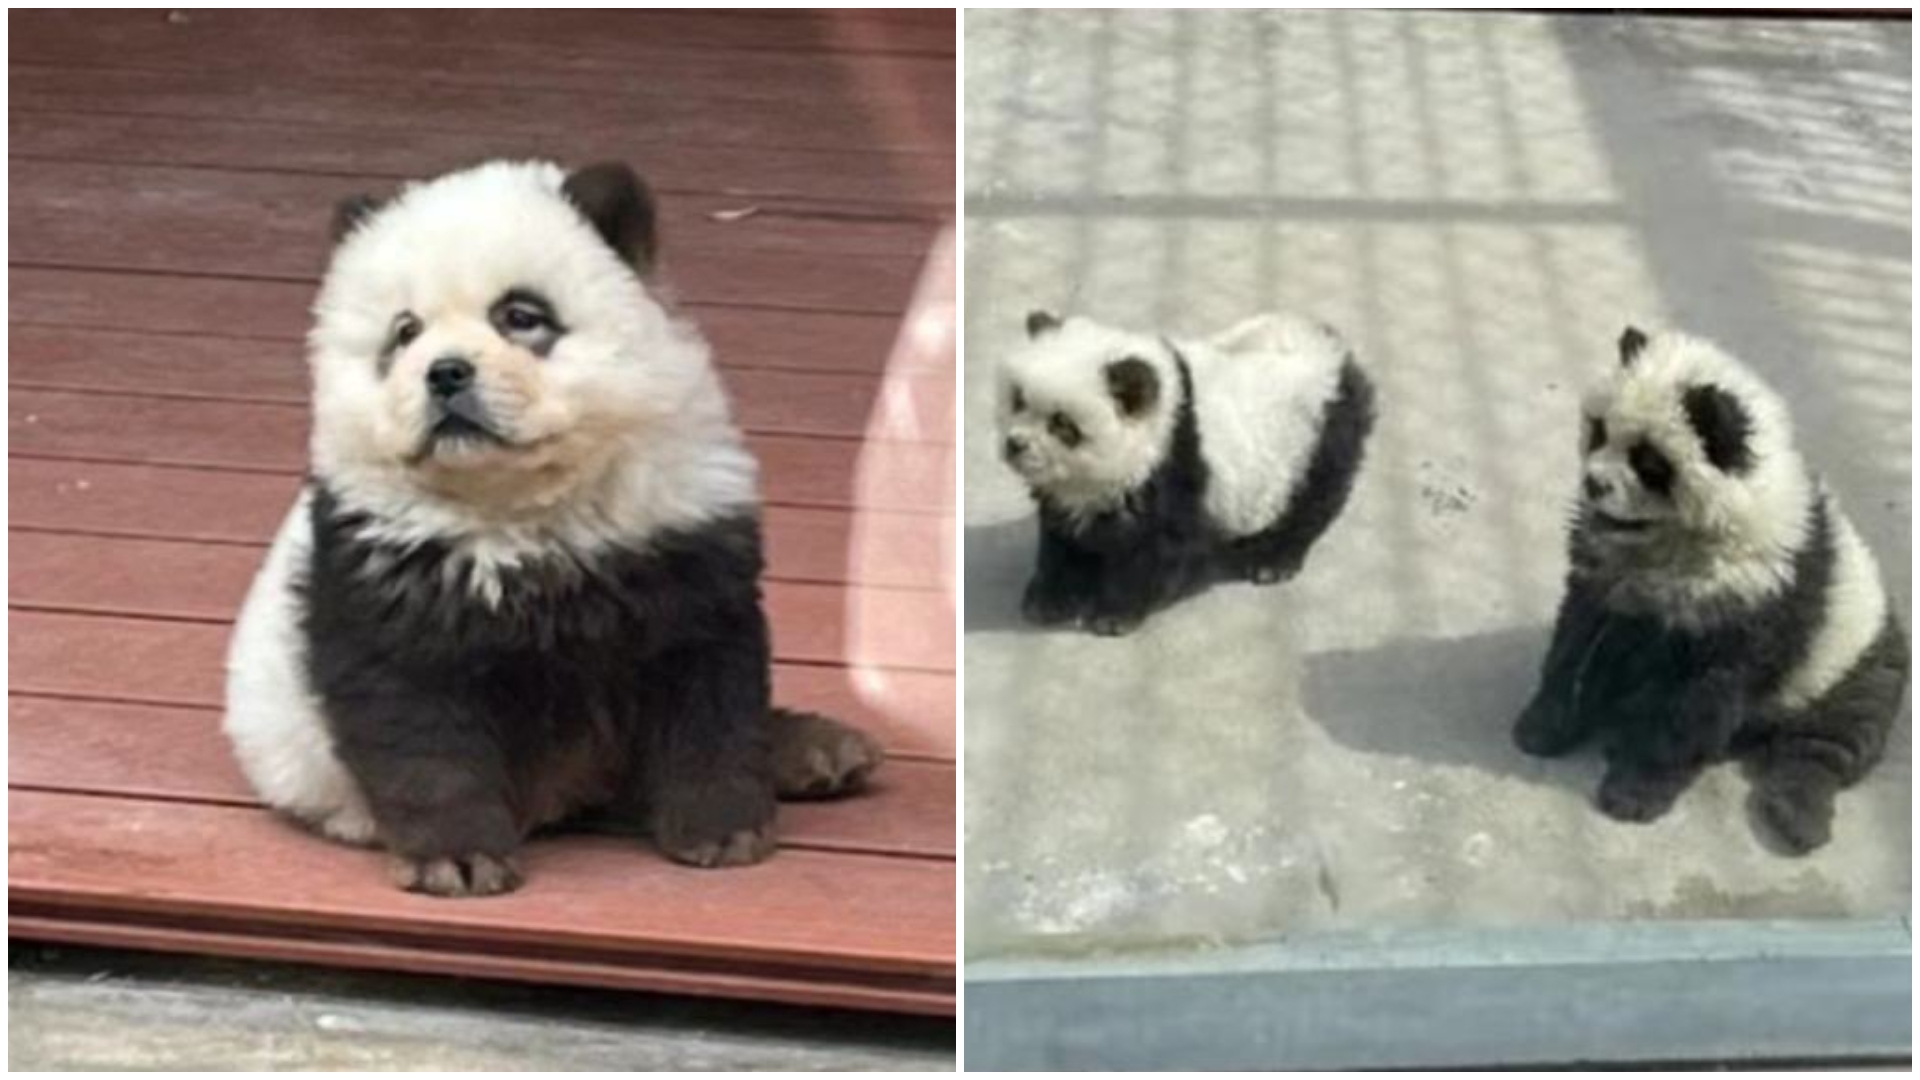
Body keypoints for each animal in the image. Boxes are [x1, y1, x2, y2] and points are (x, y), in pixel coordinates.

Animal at [223, 160, 882, 897]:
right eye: (404, 332)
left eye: (520, 316)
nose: (445, 373)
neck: (521, 504)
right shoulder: (384, 567)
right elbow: (418, 727)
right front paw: (457, 859)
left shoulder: (680, 538)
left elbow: (709, 690)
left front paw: (724, 830)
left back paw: (817, 750)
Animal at [996, 310, 1375, 635]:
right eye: (1018, 400)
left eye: (1062, 424)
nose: (1014, 445)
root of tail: (1338, 353)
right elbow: (1062, 540)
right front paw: (1048, 602)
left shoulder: (1172, 472)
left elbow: (1157, 548)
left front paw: (1114, 615)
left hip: (1319, 438)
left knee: (1311, 503)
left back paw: (1273, 561)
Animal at [1513, 326, 1909, 854]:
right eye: (1598, 431)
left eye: (1649, 463)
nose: (1594, 484)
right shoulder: (1605, 577)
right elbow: (1577, 642)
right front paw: (1542, 726)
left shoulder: (1755, 599)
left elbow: (1696, 703)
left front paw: (1634, 793)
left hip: (1852, 662)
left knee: (1833, 741)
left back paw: (1796, 815)